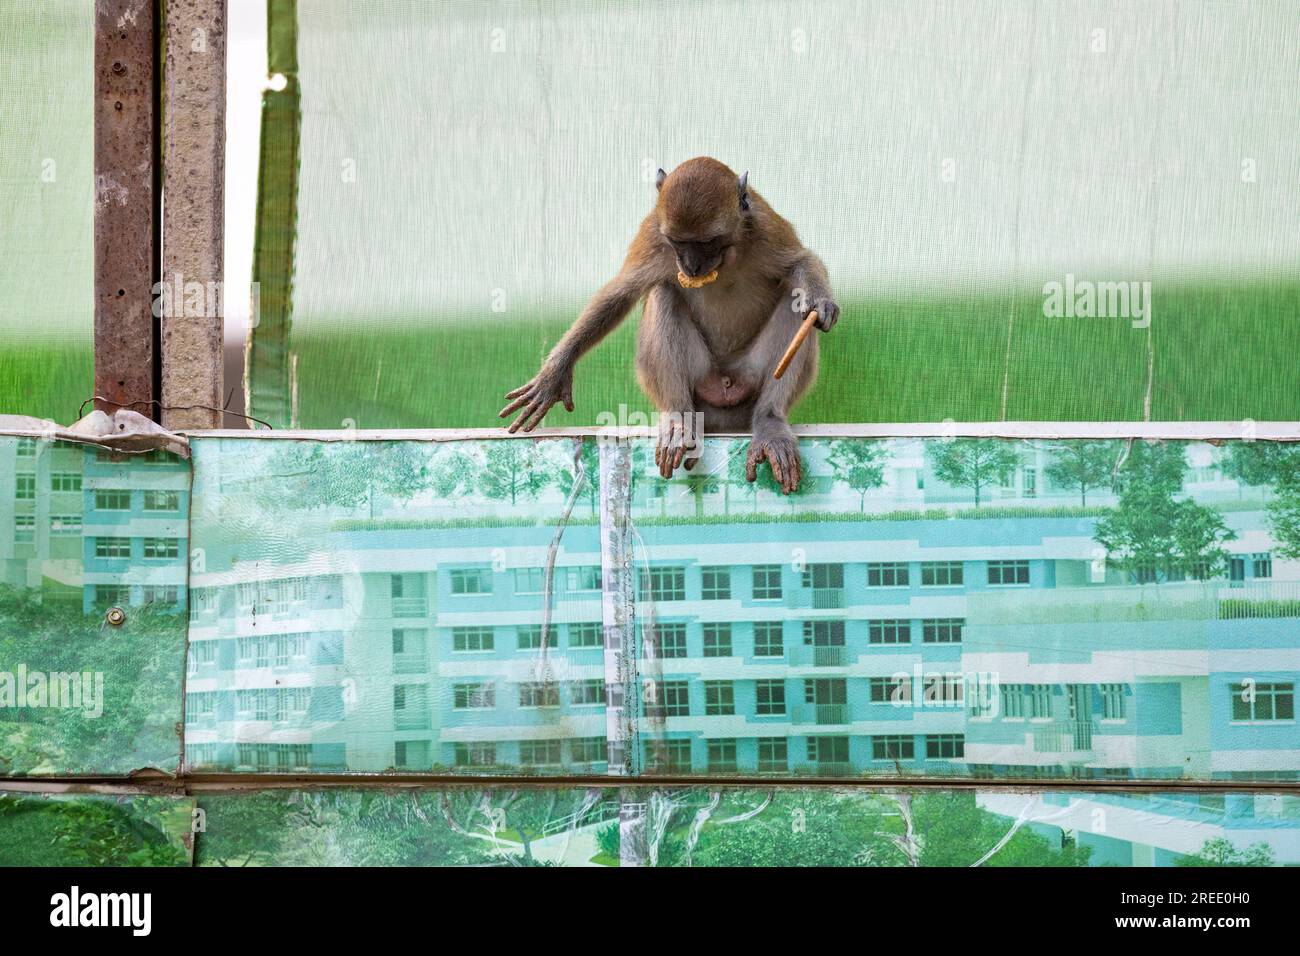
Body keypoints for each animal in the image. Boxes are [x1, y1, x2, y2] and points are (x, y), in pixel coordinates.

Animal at [499, 156, 838, 493]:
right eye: (677, 241)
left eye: (707, 241)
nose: (691, 266)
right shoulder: (653, 232)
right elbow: (619, 294)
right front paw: (554, 374)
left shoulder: (764, 225)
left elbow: (801, 264)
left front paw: (822, 303)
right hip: (701, 385)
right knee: (663, 291)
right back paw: (679, 421)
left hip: (747, 381)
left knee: (795, 300)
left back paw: (770, 423)